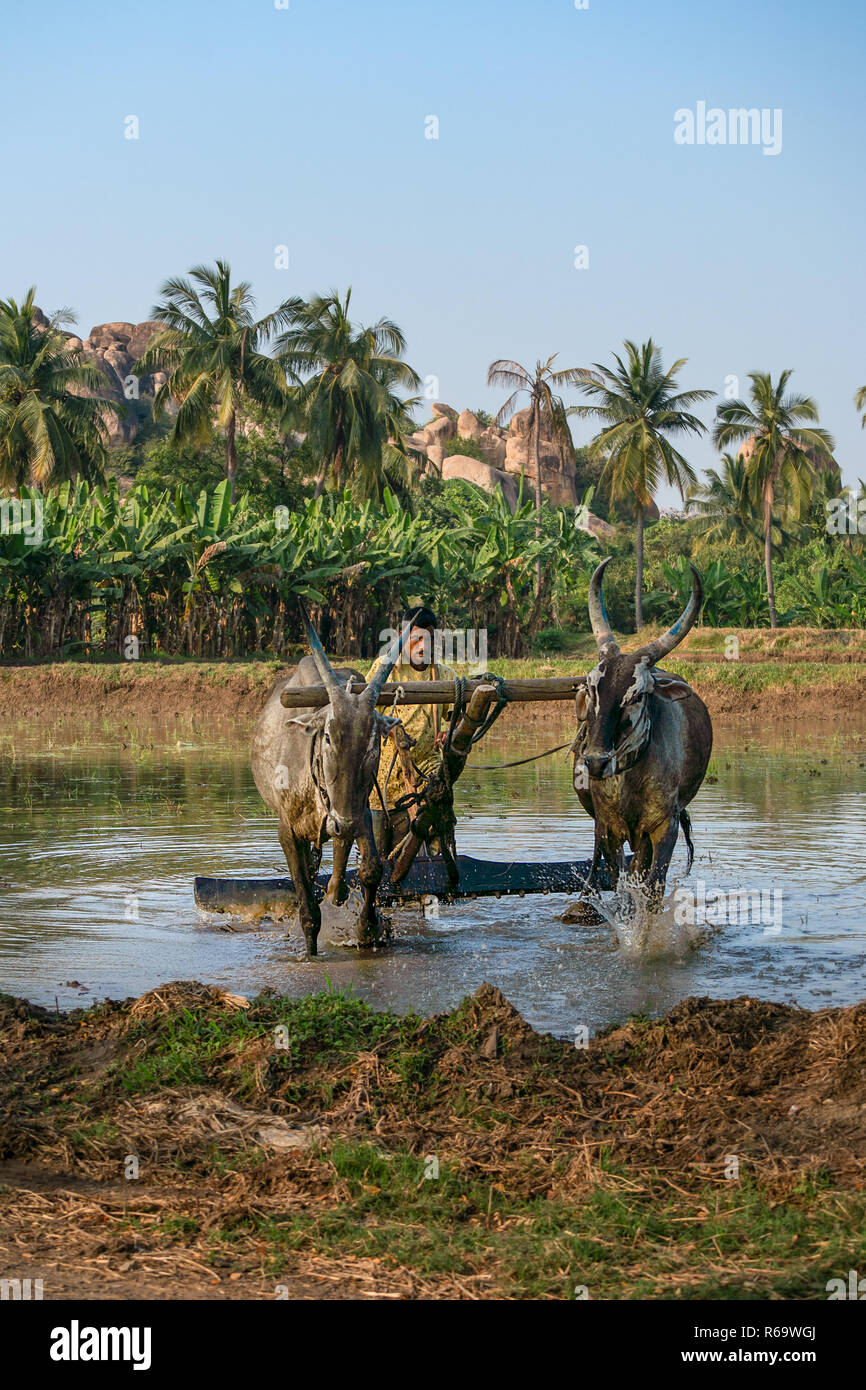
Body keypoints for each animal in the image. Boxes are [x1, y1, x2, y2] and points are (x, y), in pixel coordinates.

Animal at [251, 608, 404, 956]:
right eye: (329, 737)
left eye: (373, 741)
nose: (342, 823)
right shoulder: (287, 831)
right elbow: (307, 906)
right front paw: (310, 951)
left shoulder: (359, 812)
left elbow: (371, 869)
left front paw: (367, 927)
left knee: (337, 868)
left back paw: (338, 891)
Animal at [572, 557, 713, 908]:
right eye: (591, 689)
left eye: (636, 695)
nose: (595, 762)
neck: (629, 779)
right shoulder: (607, 829)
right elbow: (622, 890)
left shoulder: (665, 828)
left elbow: (651, 890)